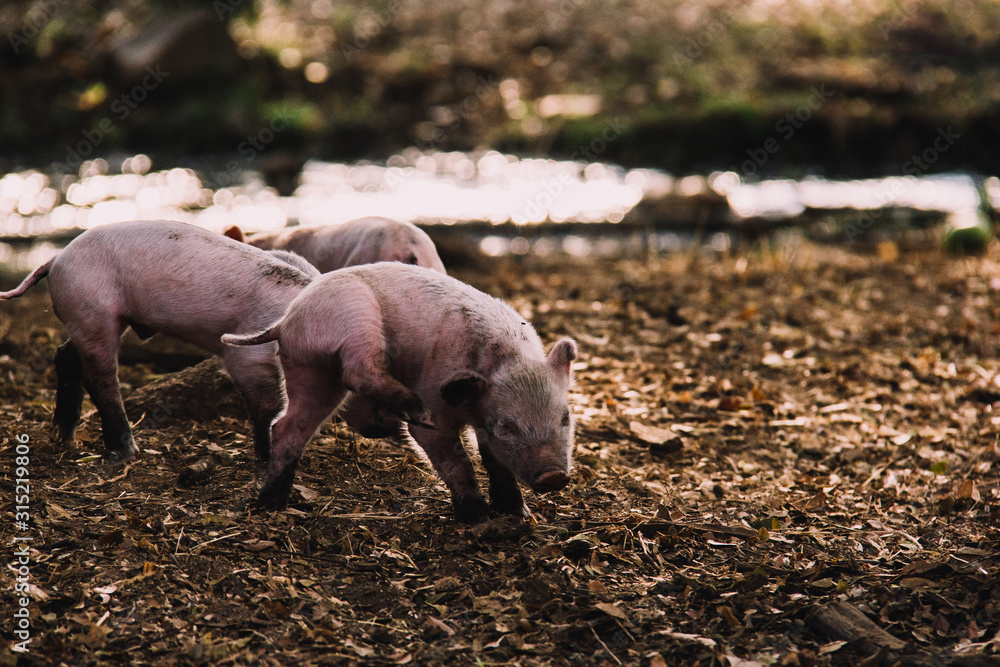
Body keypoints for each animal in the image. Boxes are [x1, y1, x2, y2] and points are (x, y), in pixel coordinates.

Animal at [0, 220, 319, 462]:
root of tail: (56, 259)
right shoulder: (246, 356)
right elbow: (269, 407)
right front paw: (267, 458)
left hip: (89, 319)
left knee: (64, 355)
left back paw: (66, 439)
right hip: (93, 311)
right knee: (101, 379)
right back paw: (128, 452)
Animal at [222, 262, 577, 523]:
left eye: (565, 417)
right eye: (507, 425)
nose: (553, 475)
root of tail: (286, 319)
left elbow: (494, 462)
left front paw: (520, 513)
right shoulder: (437, 396)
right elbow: (451, 457)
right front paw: (479, 518)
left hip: (309, 370)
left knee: (287, 426)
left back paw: (271, 504)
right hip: (355, 319)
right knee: (359, 369)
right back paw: (411, 410)